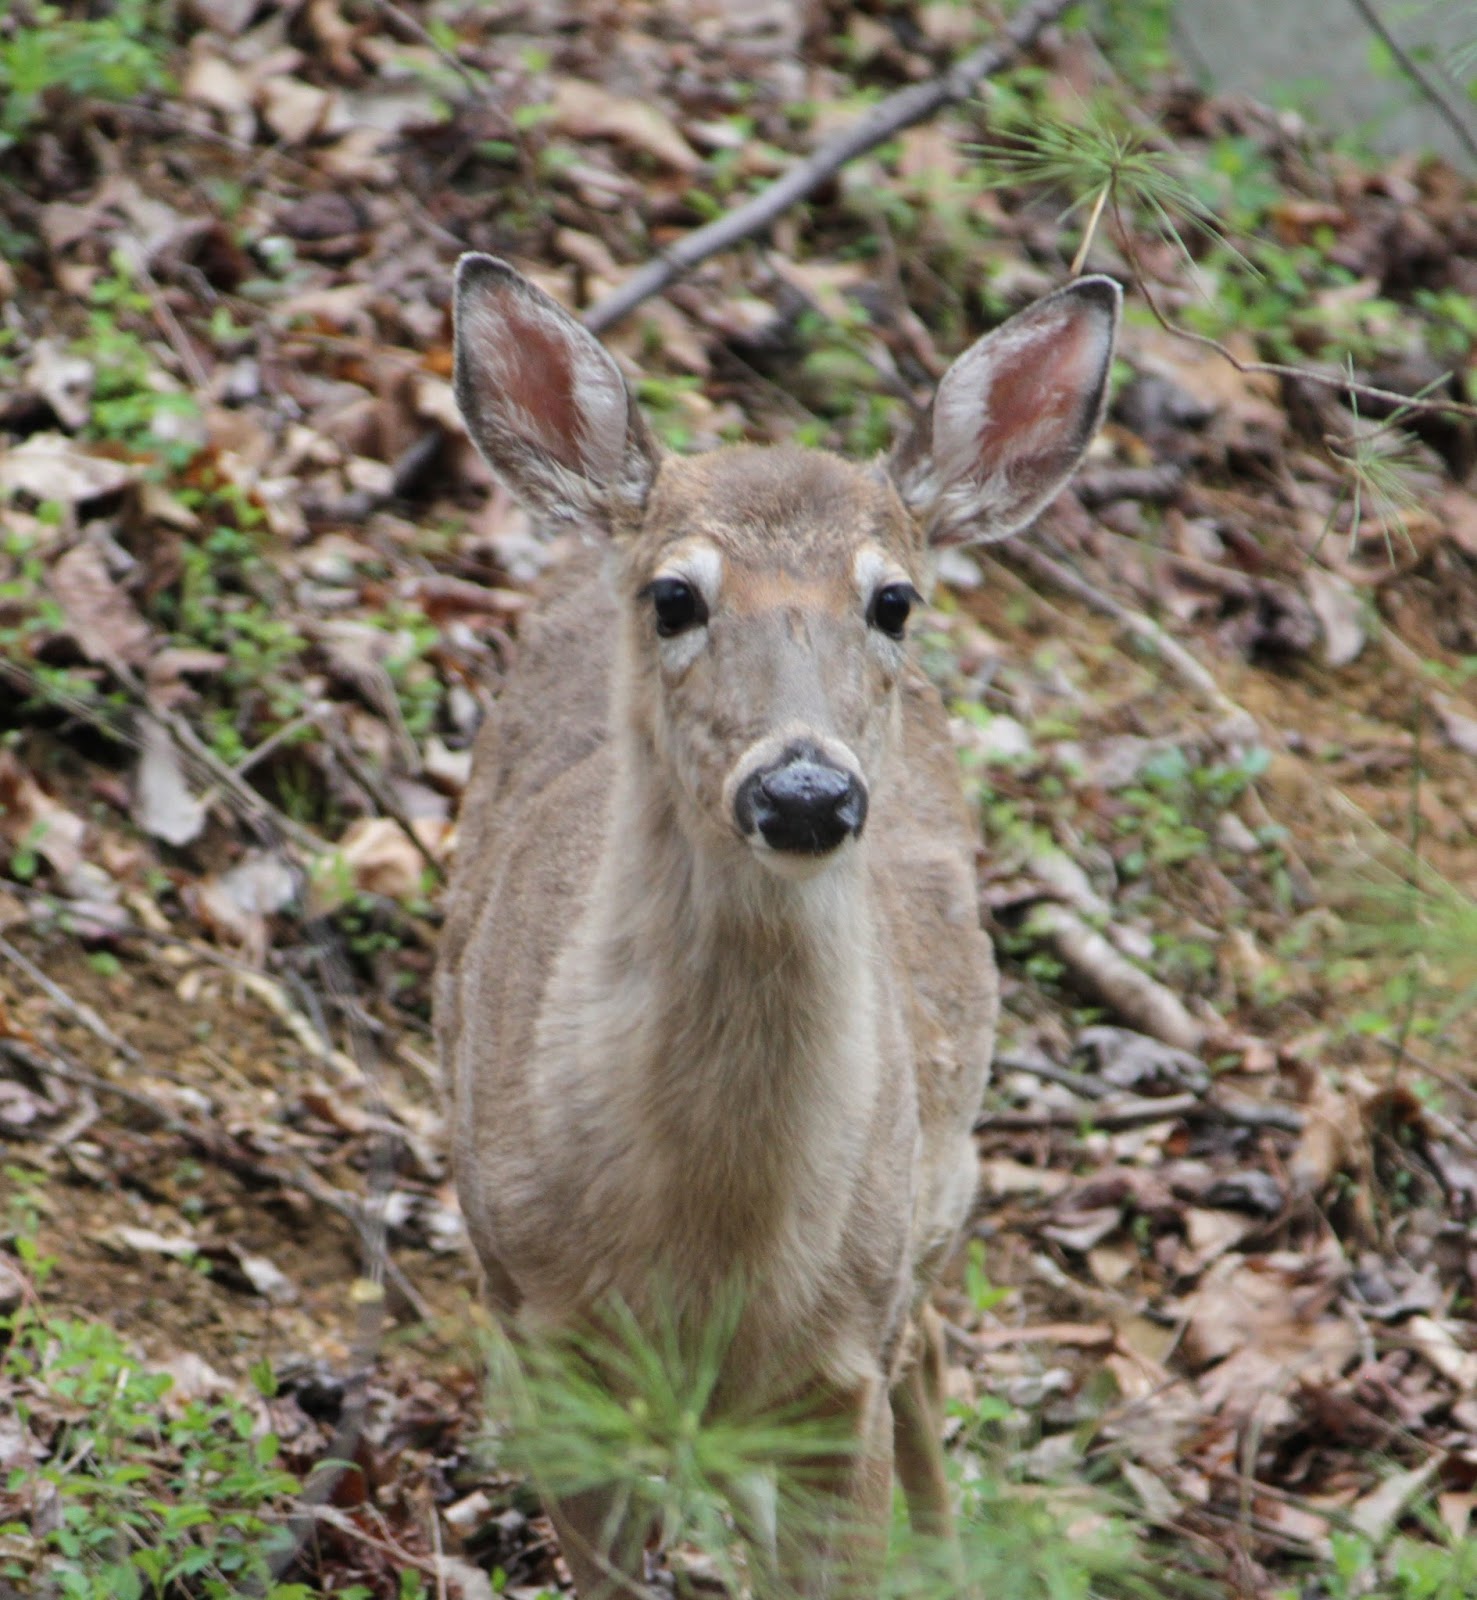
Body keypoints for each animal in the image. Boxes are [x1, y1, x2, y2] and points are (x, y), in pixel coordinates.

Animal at [435, 252, 1120, 1598]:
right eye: (675, 595)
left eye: (893, 600)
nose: (803, 790)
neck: (706, 1256)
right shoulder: (539, 1329)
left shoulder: (833, 1375)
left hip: (935, 1199)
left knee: (930, 1357)